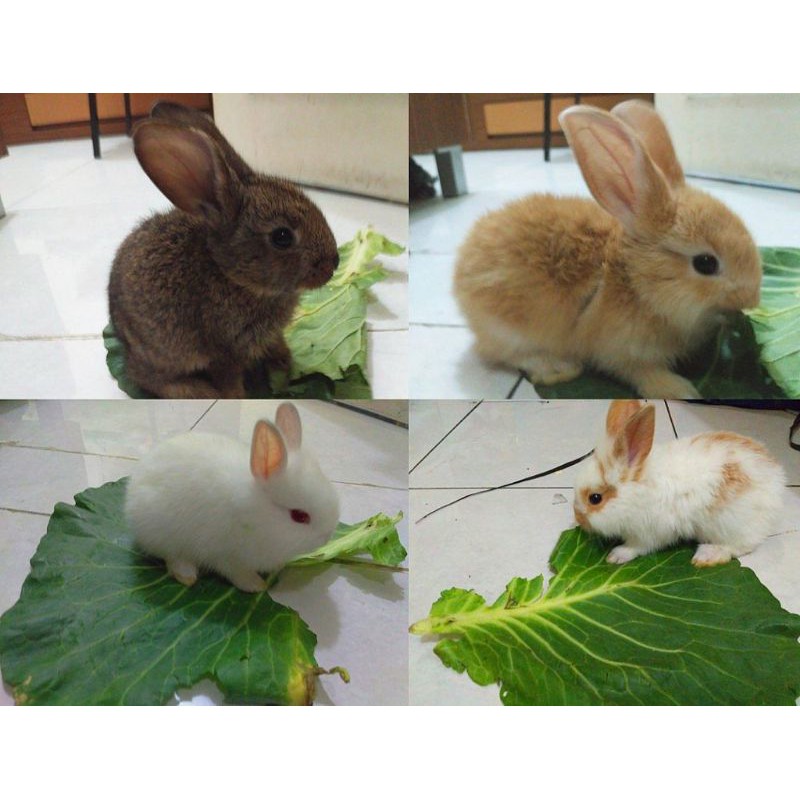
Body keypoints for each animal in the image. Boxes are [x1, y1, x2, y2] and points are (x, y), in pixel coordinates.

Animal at [108, 101, 340, 399]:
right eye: (282, 237)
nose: (333, 263)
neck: (233, 275)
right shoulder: (224, 352)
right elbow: (229, 381)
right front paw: (238, 397)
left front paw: (284, 363)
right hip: (163, 352)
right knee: (146, 378)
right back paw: (197, 391)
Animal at [126, 402, 340, 592]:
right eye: (299, 516)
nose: (327, 535)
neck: (253, 516)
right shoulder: (226, 555)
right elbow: (237, 573)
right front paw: (257, 585)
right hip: (164, 535)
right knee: (173, 557)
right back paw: (187, 575)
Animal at [453, 101, 763, 399]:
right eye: (706, 263)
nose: (751, 298)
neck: (635, 279)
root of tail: (460, 271)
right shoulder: (622, 351)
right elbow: (642, 373)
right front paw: (681, 390)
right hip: (508, 327)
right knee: (505, 353)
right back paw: (558, 368)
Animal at [572, 400, 786, 566]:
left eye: (595, 498)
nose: (578, 519)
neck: (638, 489)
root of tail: (777, 479)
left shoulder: (649, 532)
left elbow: (638, 547)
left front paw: (616, 556)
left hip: (731, 525)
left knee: (742, 545)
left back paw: (706, 555)